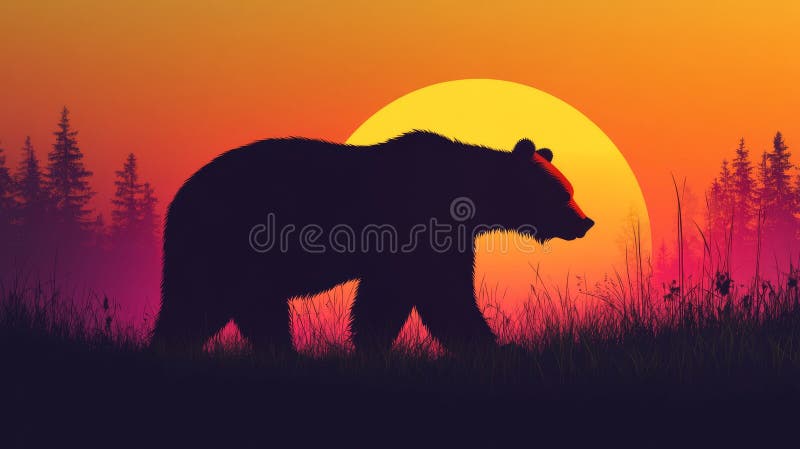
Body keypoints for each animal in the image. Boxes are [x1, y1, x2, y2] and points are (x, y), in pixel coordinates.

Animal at [150, 131, 594, 354]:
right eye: (562, 193)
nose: (585, 221)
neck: (468, 196)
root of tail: (181, 195)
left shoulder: (442, 237)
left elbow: (400, 297)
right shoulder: (418, 225)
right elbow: (439, 296)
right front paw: (497, 347)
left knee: (228, 308)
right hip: (228, 239)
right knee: (202, 302)